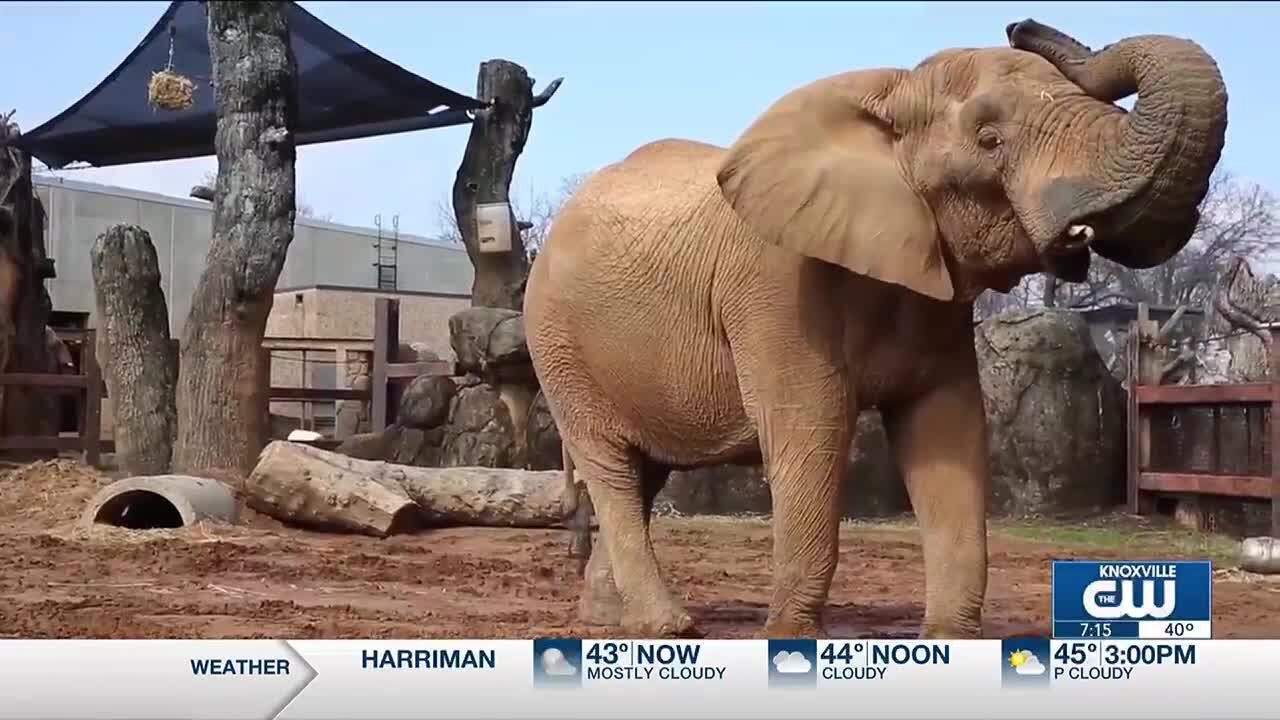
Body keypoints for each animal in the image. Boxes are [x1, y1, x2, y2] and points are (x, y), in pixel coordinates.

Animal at [523, 19, 1228, 638]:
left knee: (644, 473)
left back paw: (608, 618)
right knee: (612, 468)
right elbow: (811, 428)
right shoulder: (777, 286)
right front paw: (789, 636)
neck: (890, 97)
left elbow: (944, 429)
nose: (1018, 24)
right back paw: (665, 627)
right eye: (989, 138)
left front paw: (949, 639)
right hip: (558, 343)